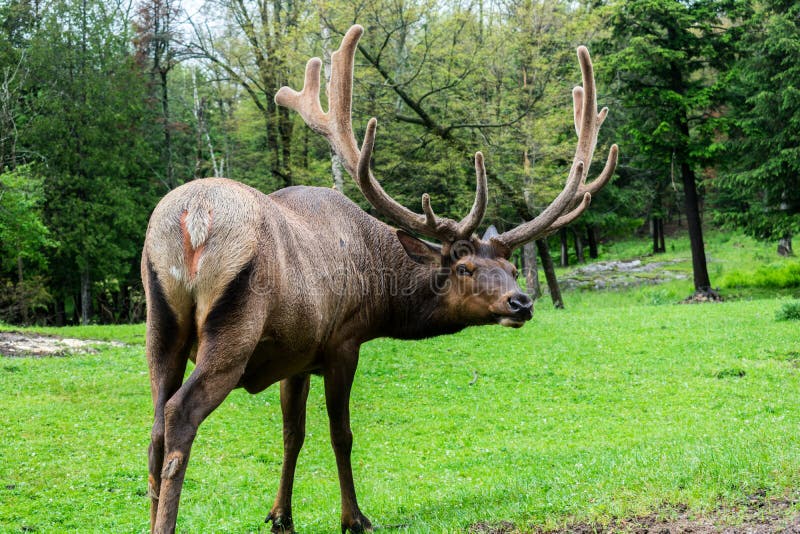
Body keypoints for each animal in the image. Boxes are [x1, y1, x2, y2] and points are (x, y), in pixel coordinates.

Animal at [142, 24, 617, 534]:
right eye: (464, 268)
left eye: (510, 269)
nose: (521, 303)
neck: (378, 293)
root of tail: (192, 219)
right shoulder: (342, 341)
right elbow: (341, 433)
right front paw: (354, 517)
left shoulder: (297, 355)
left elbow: (292, 433)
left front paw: (280, 515)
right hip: (235, 323)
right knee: (180, 413)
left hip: (161, 323)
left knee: (155, 425)